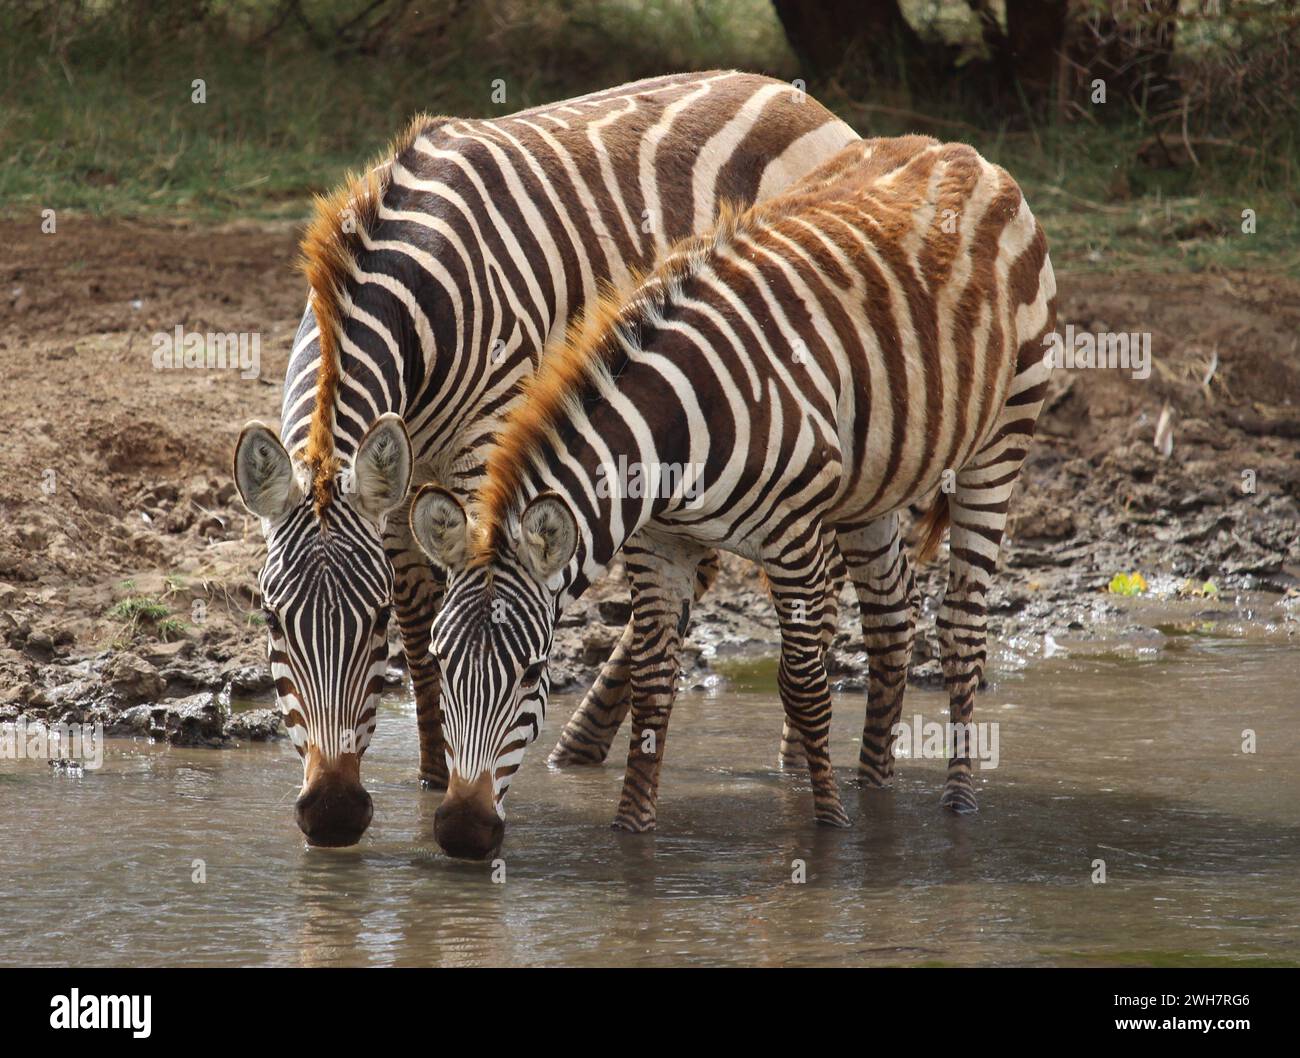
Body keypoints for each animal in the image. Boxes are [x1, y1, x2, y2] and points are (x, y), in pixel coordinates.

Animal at [230, 71, 859, 846]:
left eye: (369, 624)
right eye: (271, 622)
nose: (334, 814)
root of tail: (795, 94)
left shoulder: (486, 442)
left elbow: (456, 592)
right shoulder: (403, 473)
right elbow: (421, 614)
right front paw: (434, 769)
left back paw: (791, 759)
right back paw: (583, 743)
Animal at [410, 135, 1057, 858]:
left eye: (532, 672)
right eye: (440, 661)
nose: (462, 832)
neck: (670, 436)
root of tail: (959, 150)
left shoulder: (793, 536)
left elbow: (802, 685)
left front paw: (827, 827)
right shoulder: (658, 544)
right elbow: (655, 685)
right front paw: (633, 832)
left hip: (1002, 438)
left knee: (962, 627)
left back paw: (958, 801)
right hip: (874, 482)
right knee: (892, 620)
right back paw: (876, 788)